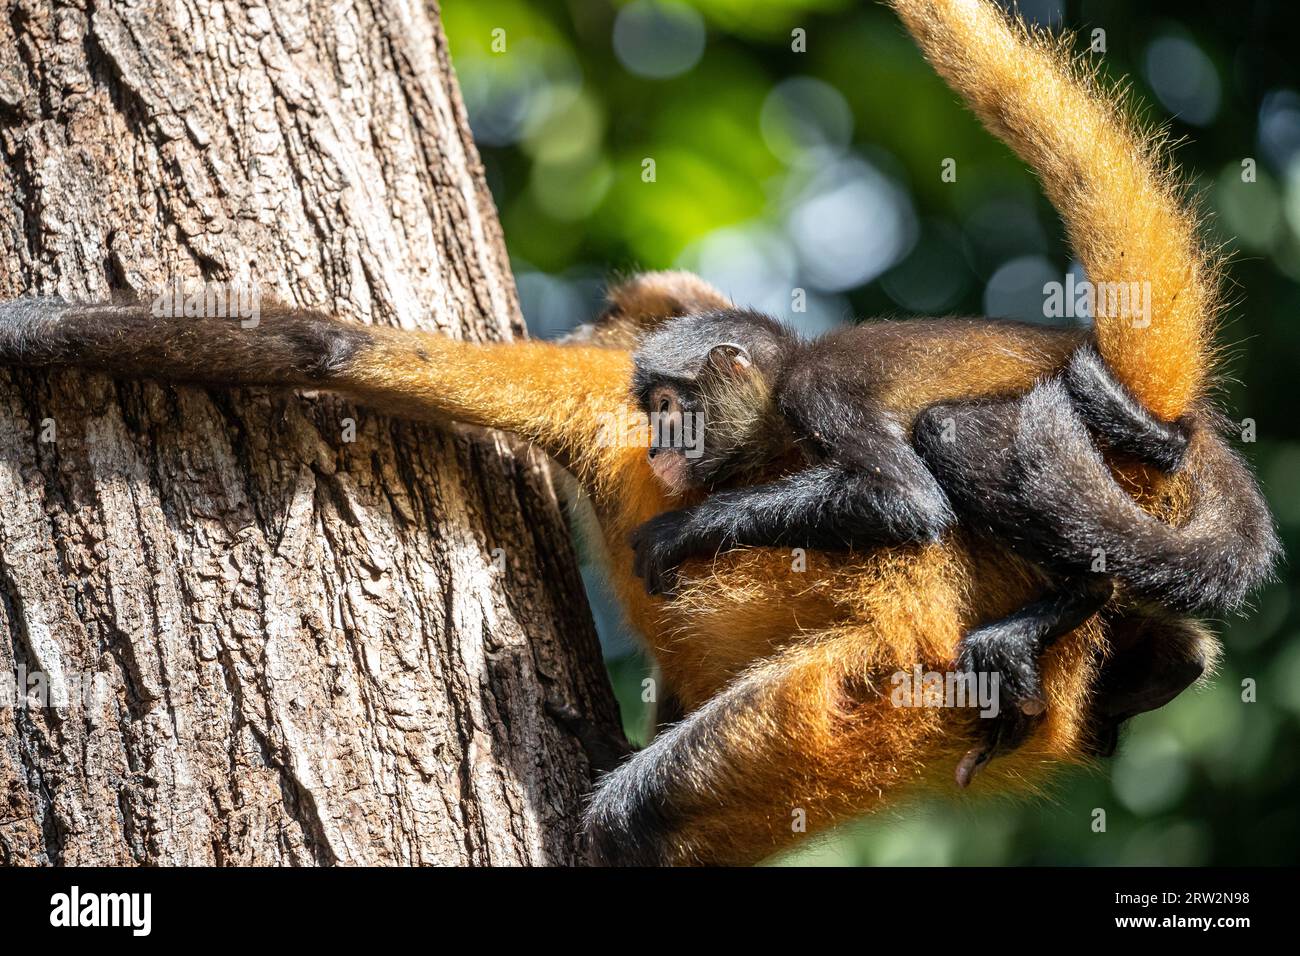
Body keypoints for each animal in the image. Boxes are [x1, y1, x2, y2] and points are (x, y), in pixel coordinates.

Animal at [0, 0, 1280, 865]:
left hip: (851, 695)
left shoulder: (593, 404)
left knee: (641, 814)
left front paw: (32, 329)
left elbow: (324, 349)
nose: (664, 435)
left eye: (671, 405)